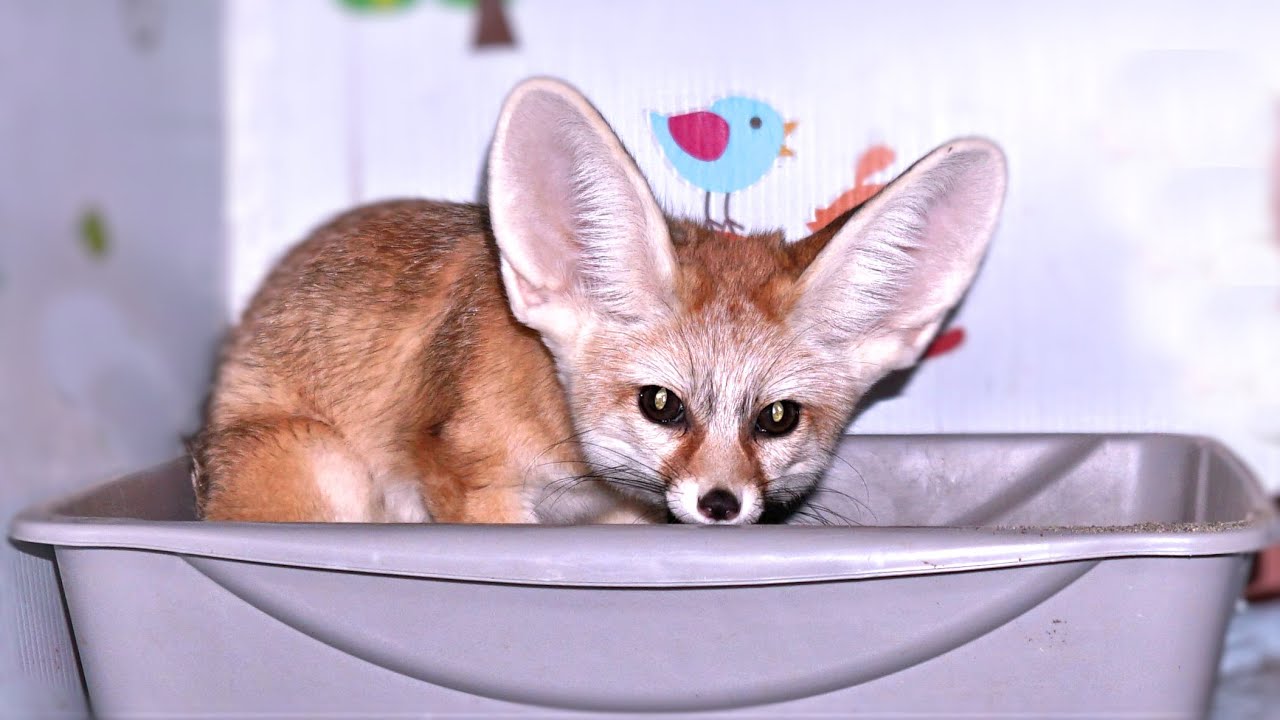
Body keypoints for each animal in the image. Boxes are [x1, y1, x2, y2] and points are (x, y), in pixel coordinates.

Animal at [191, 77, 1007, 525]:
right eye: (661, 404)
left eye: (777, 418)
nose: (721, 505)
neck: (576, 479)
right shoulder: (473, 485)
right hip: (320, 458)